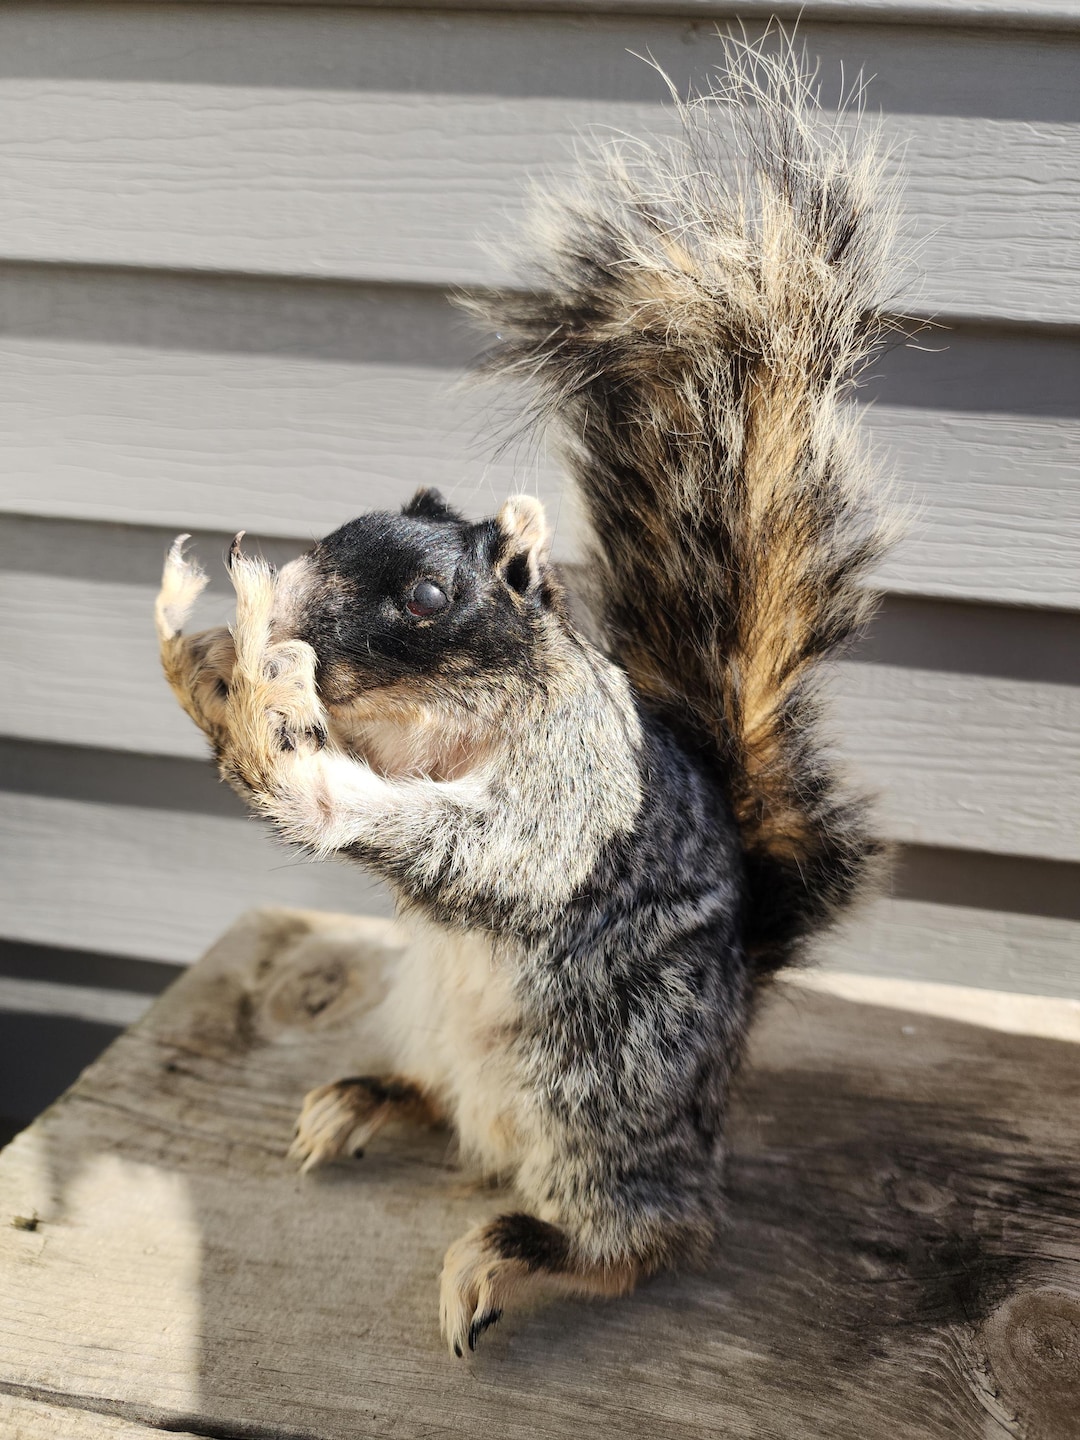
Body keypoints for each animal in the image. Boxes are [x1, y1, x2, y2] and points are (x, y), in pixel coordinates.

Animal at [155, 41, 898, 1357]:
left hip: (602, 1076)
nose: (281, 622)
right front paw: (219, 676)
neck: (424, 727)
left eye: (427, 596)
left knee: (657, 1231)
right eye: (327, 537)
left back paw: (520, 1250)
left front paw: (316, 785)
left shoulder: (572, 781)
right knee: (453, 1109)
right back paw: (370, 1101)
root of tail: (729, 1035)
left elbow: (501, 844)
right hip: (436, 1021)